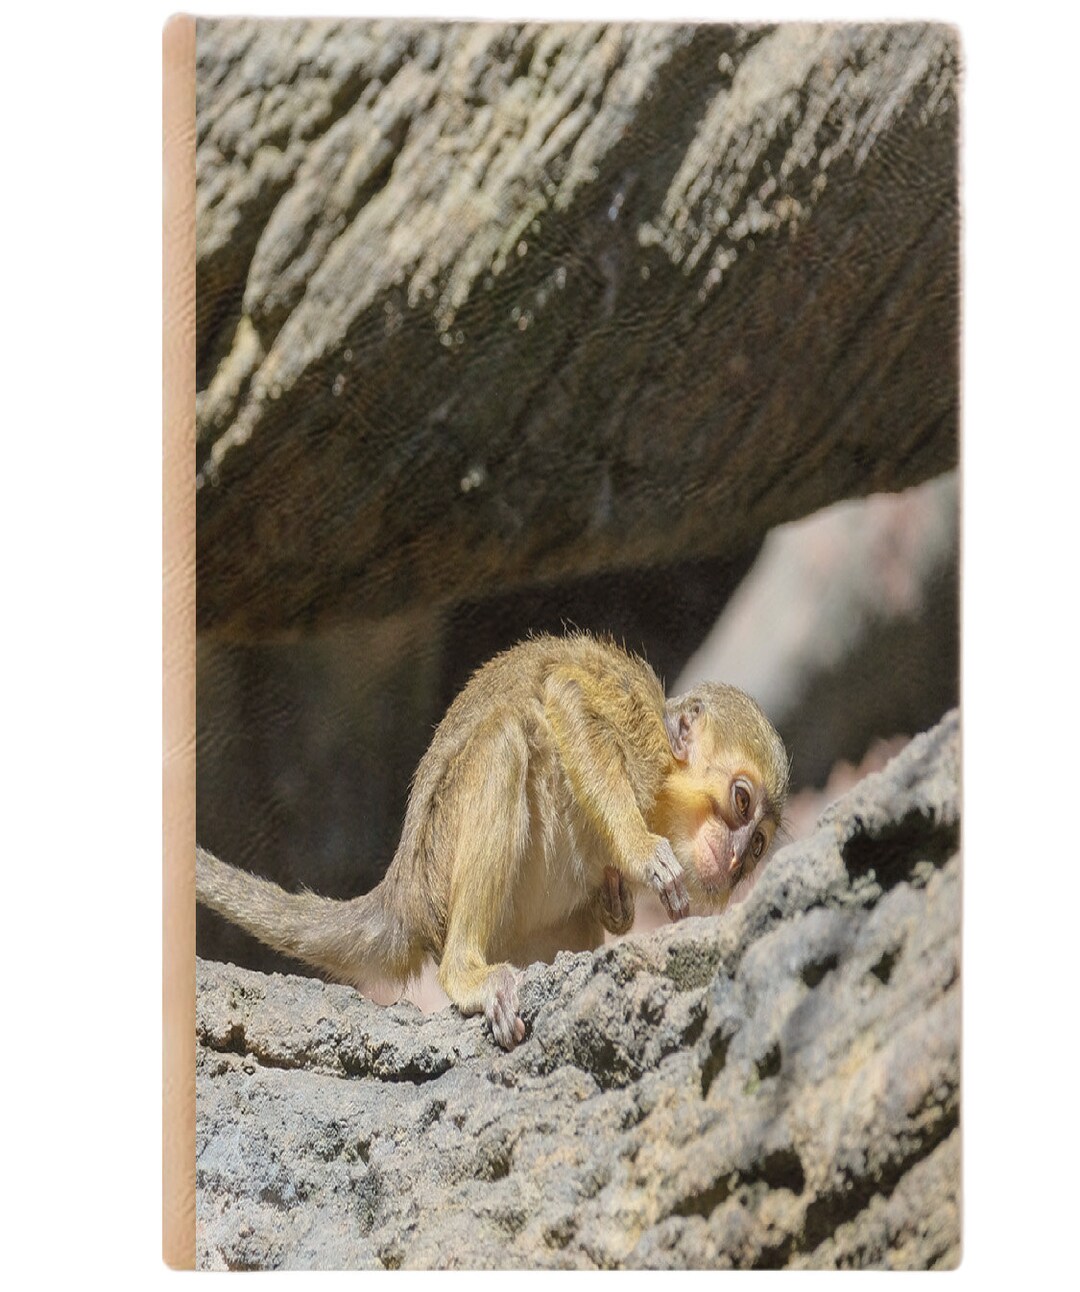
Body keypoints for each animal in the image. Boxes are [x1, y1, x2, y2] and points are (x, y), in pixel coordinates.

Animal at [196, 633, 789, 1050]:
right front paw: (641, 853)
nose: (735, 859)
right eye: (741, 802)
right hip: (439, 863)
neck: (662, 791)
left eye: (757, 848)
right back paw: (464, 973)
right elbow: (567, 695)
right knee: (505, 740)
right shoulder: (636, 720)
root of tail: (404, 890)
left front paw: (619, 901)